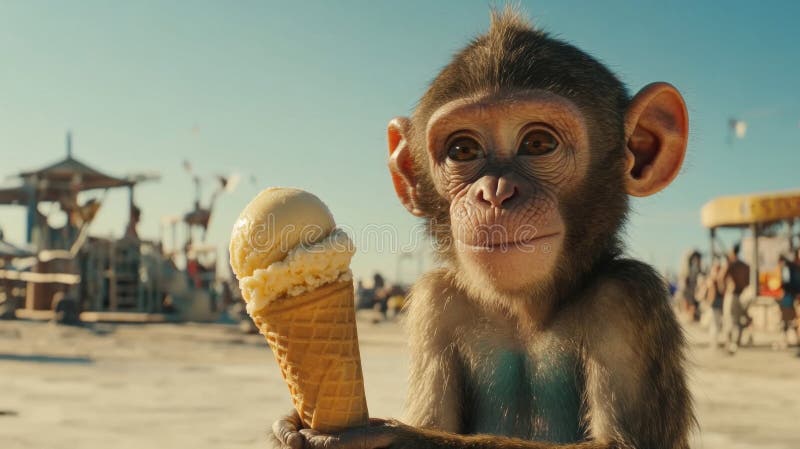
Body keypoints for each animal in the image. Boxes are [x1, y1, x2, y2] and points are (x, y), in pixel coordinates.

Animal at [269, 7, 692, 449]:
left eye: (538, 144)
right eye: (463, 150)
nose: (494, 192)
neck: (527, 311)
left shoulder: (629, 296)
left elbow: (620, 442)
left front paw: (379, 436)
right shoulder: (434, 302)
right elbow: (433, 416)